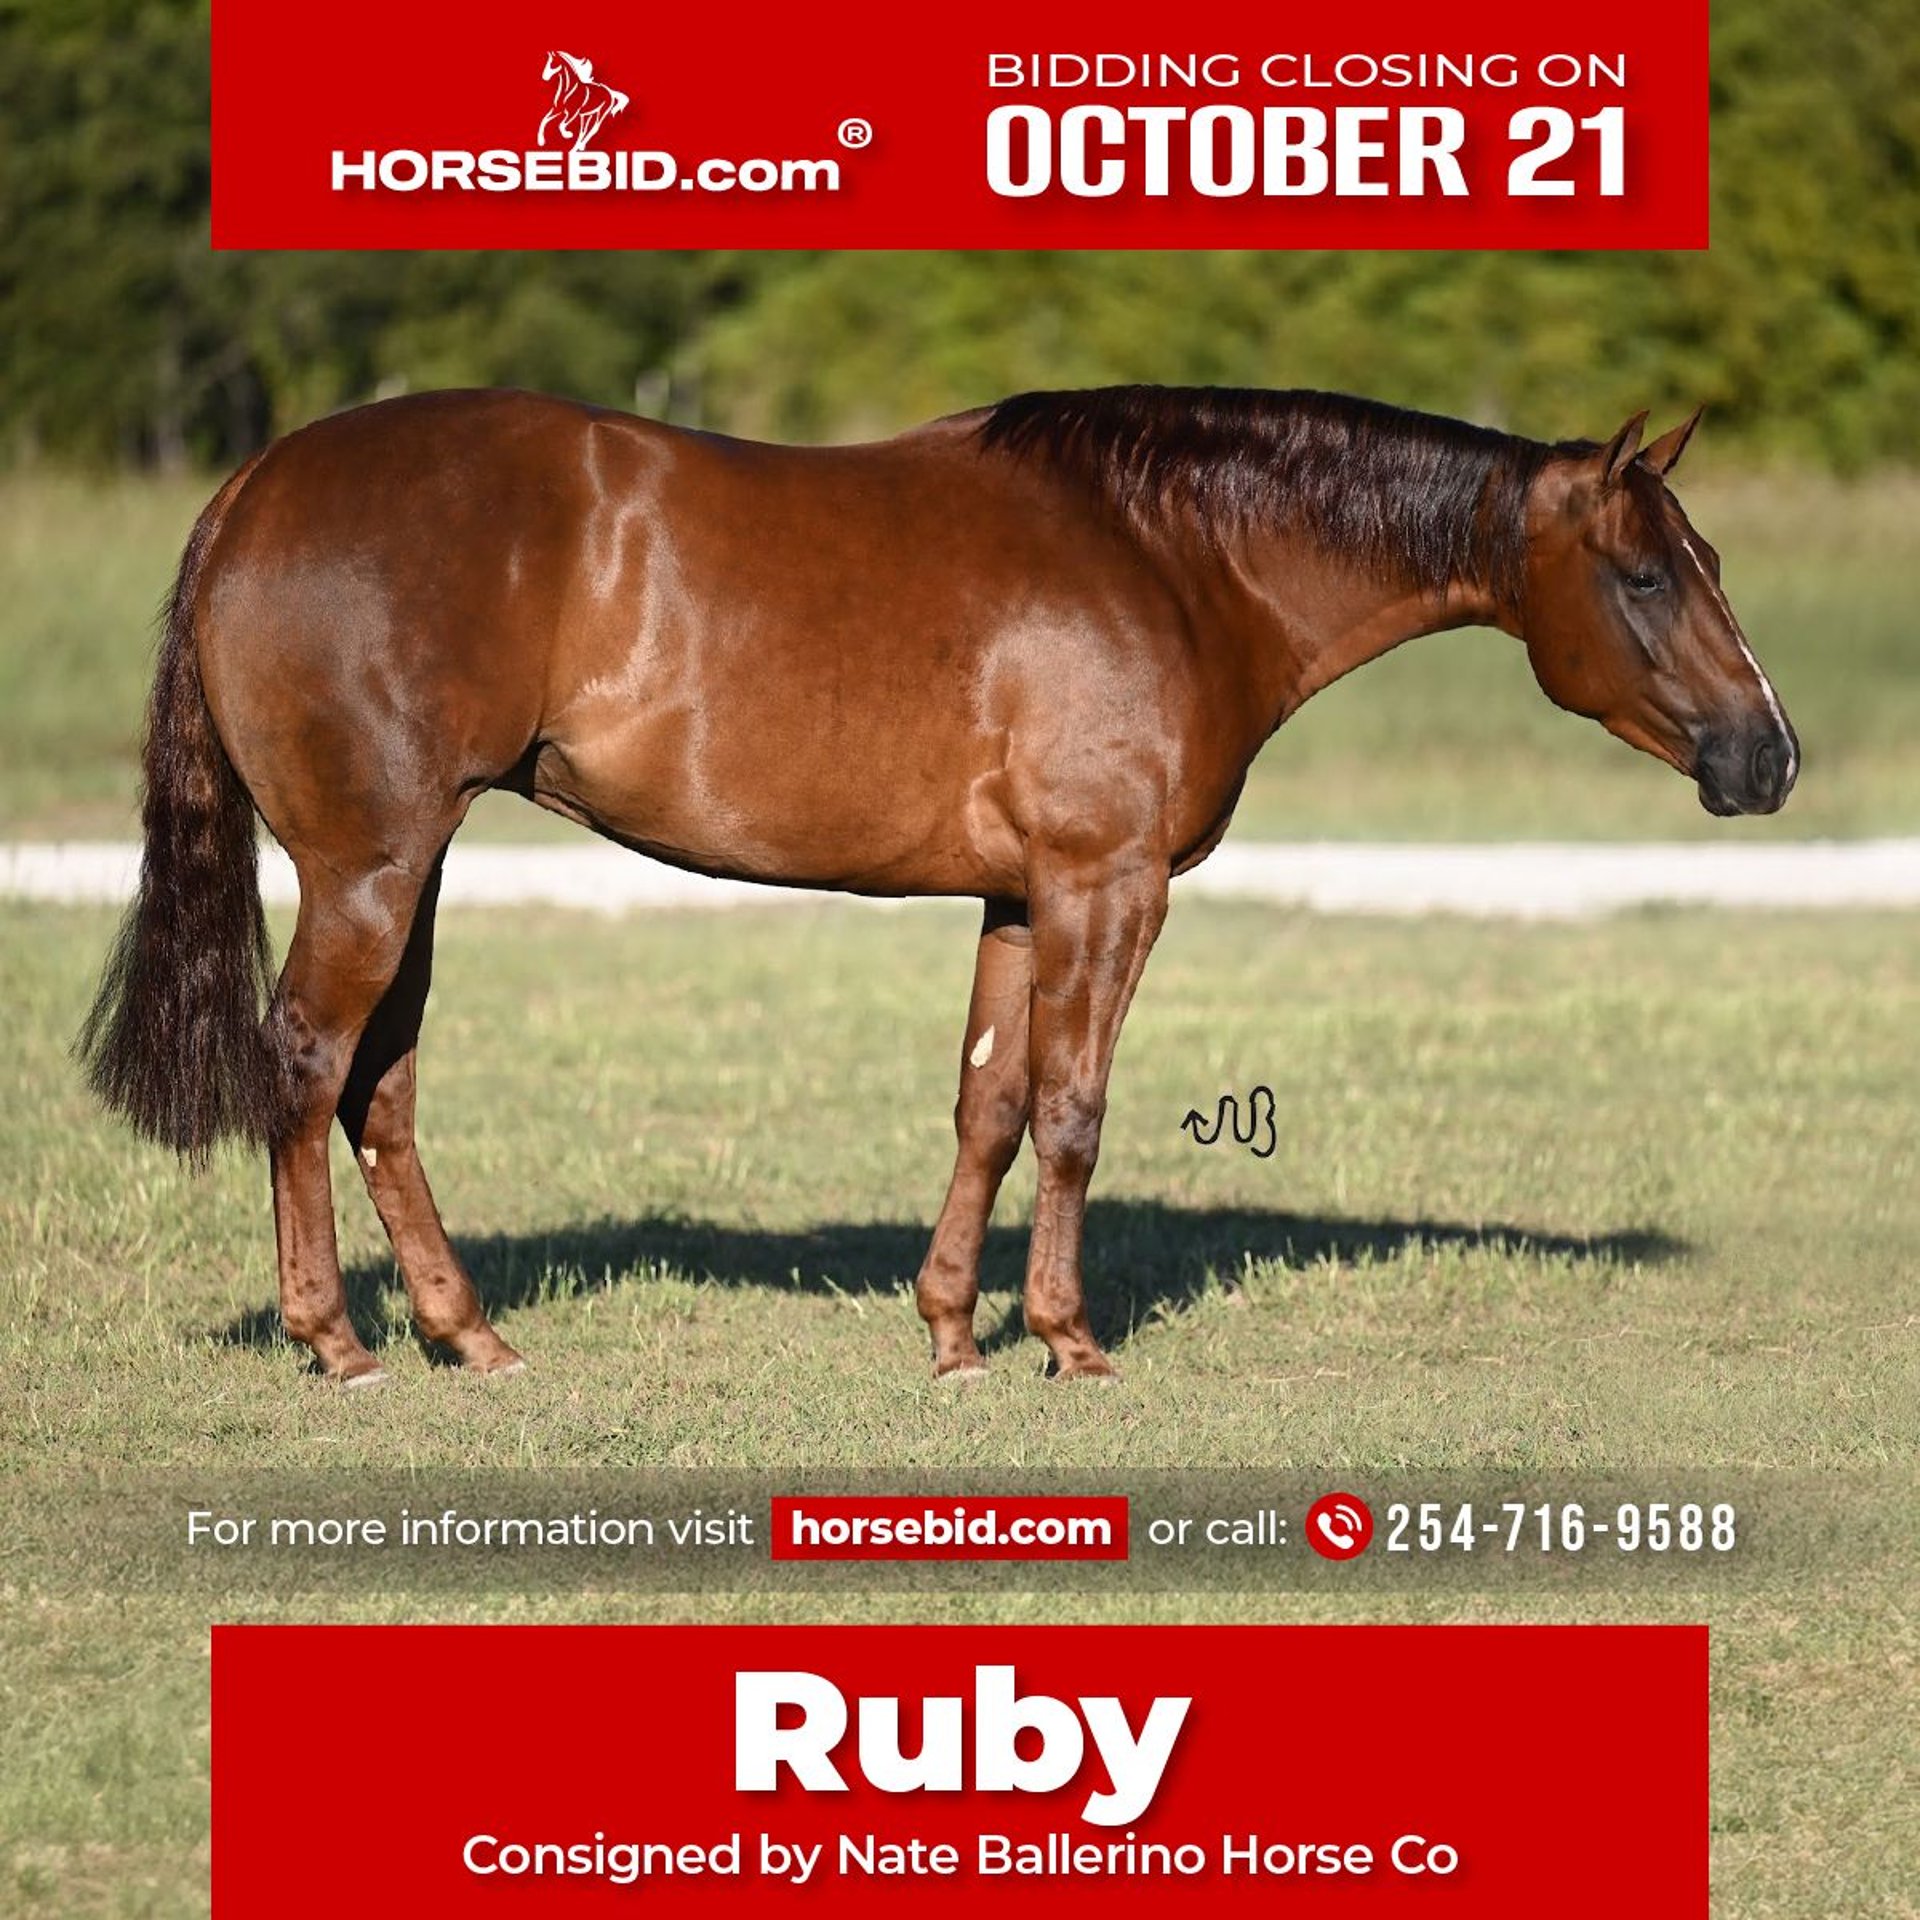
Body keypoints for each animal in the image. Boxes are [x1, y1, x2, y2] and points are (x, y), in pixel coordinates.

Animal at [79, 386, 1798, 1386]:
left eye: (1714, 561)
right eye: (1648, 574)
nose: (1769, 757)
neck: (1171, 553)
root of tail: (257, 485)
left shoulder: (1024, 899)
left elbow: (989, 1104)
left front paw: (954, 1333)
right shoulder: (1110, 887)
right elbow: (1075, 1110)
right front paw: (1067, 1340)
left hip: (412, 868)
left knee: (381, 1086)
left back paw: (469, 1333)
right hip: (371, 868)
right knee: (311, 1066)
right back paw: (338, 1343)